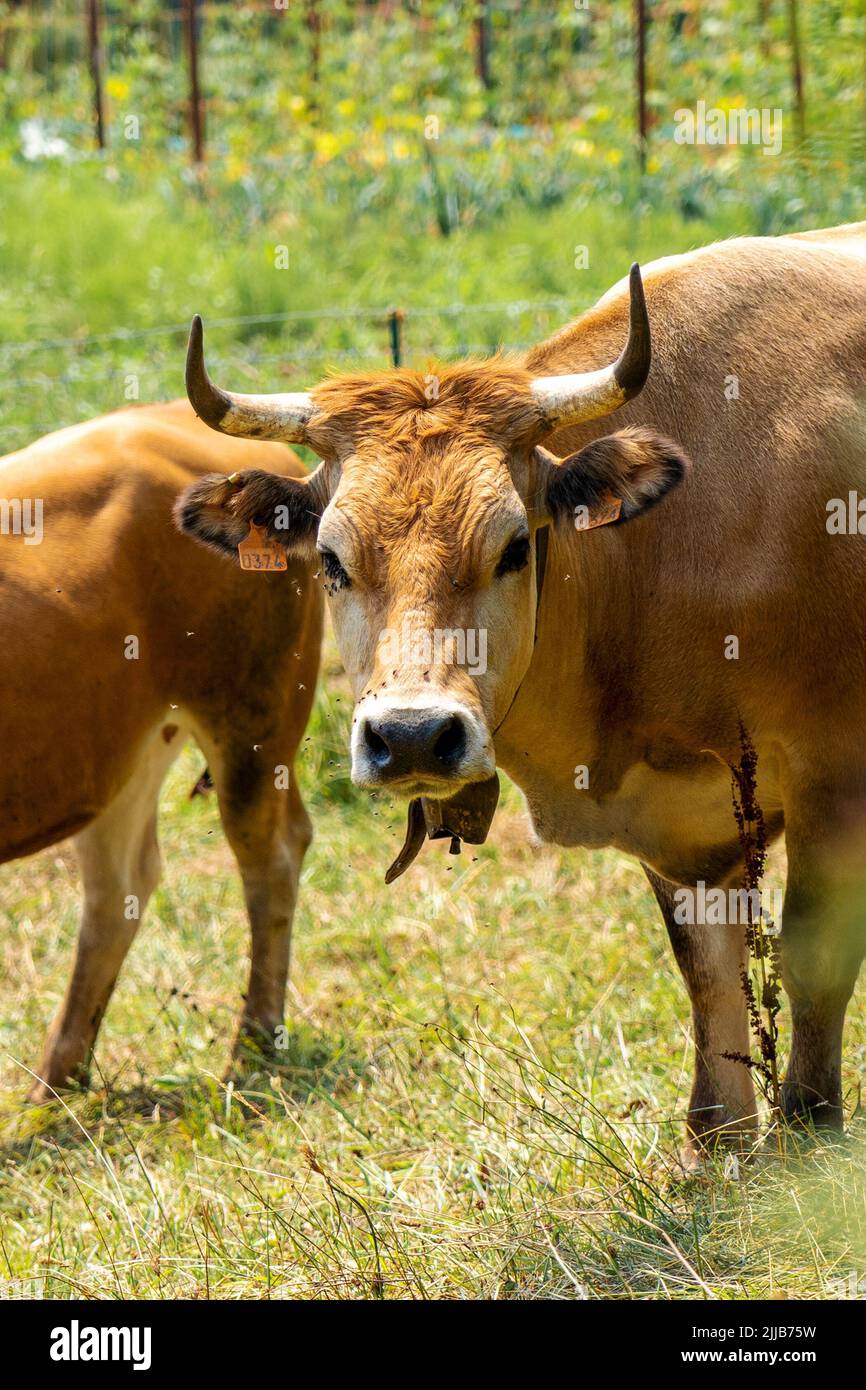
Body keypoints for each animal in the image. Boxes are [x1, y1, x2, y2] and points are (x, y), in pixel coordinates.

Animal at [1, 400, 322, 1101]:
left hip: (252, 721)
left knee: (272, 857)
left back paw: (252, 1049)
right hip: (120, 750)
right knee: (119, 889)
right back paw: (54, 1085)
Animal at [177, 222, 866, 1156]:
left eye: (512, 546)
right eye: (329, 557)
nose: (413, 736)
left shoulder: (835, 777)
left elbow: (813, 963)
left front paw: (810, 1140)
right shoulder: (690, 829)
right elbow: (707, 971)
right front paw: (721, 1140)